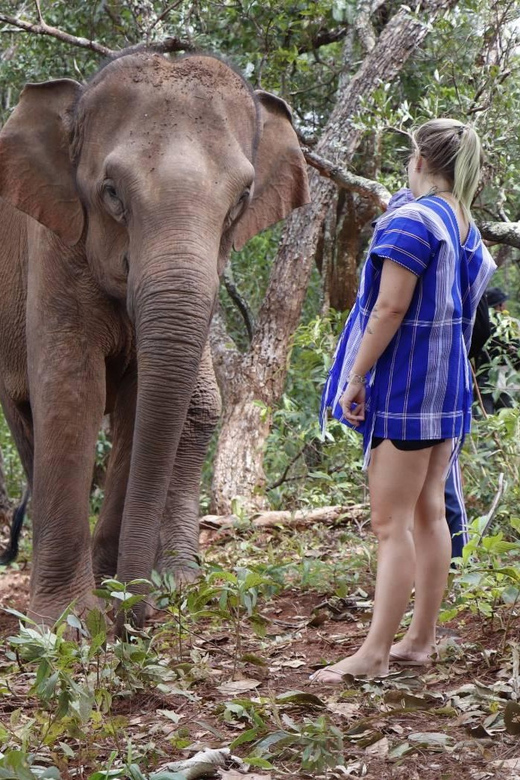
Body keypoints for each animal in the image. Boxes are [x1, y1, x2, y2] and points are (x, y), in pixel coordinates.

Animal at [0, 51, 310, 630]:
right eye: (111, 193)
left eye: (242, 199)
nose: (136, 614)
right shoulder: (52, 247)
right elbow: (73, 393)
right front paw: (69, 623)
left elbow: (140, 399)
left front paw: (114, 593)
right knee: (25, 416)